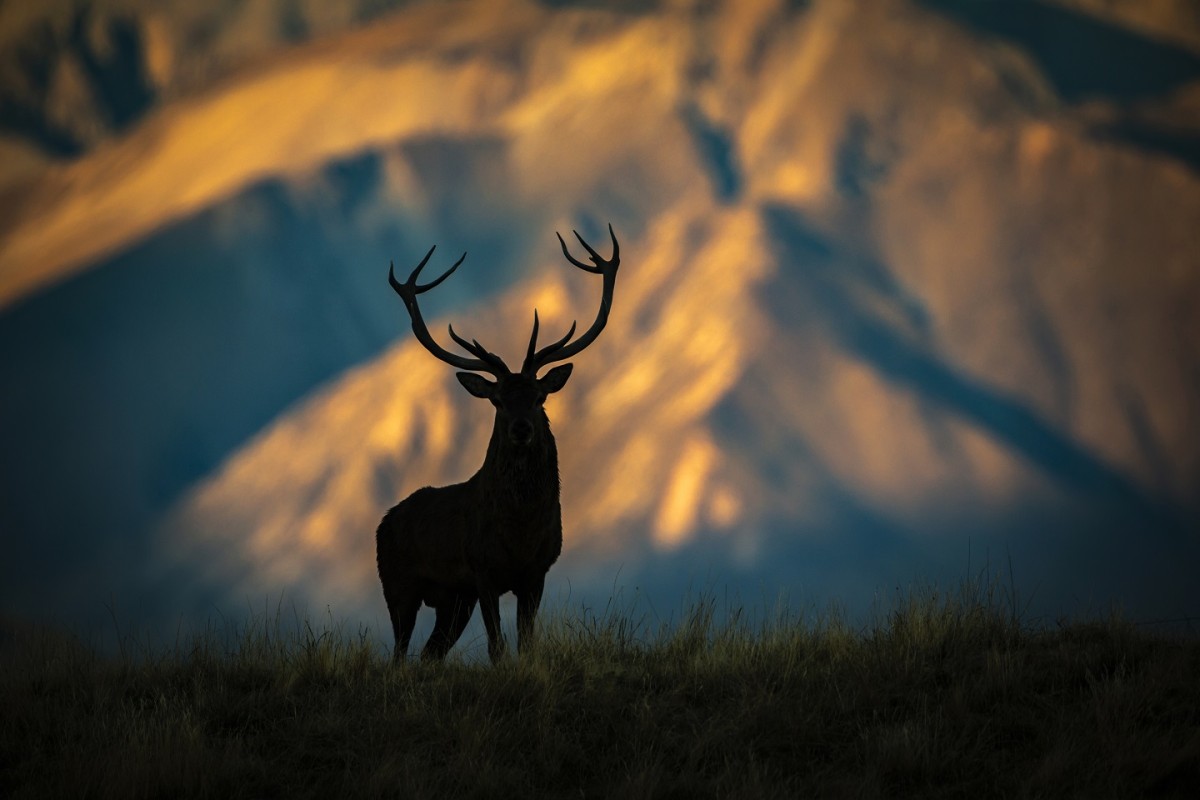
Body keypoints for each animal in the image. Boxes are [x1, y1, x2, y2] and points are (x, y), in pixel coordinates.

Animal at [375, 225, 620, 664]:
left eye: (539, 397)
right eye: (498, 400)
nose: (521, 429)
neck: (520, 530)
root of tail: (384, 521)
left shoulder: (537, 572)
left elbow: (526, 644)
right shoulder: (482, 571)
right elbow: (497, 647)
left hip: (453, 601)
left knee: (430, 653)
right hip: (398, 585)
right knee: (400, 654)